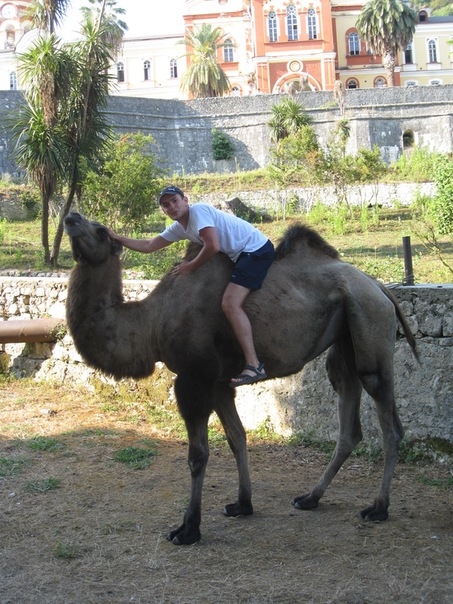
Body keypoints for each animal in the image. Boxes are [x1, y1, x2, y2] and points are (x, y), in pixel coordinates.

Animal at [64, 211, 418, 546]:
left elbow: (198, 455)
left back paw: (378, 508)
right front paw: (242, 504)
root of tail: (380, 286)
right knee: (348, 413)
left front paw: (188, 529)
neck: (150, 321)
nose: (71, 217)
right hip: (345, 338)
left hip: (369, 319)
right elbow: (237, 437)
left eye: (100, 231)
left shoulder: (194, 378)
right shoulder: (220, 383)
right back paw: (309, 498)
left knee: (387, 417)